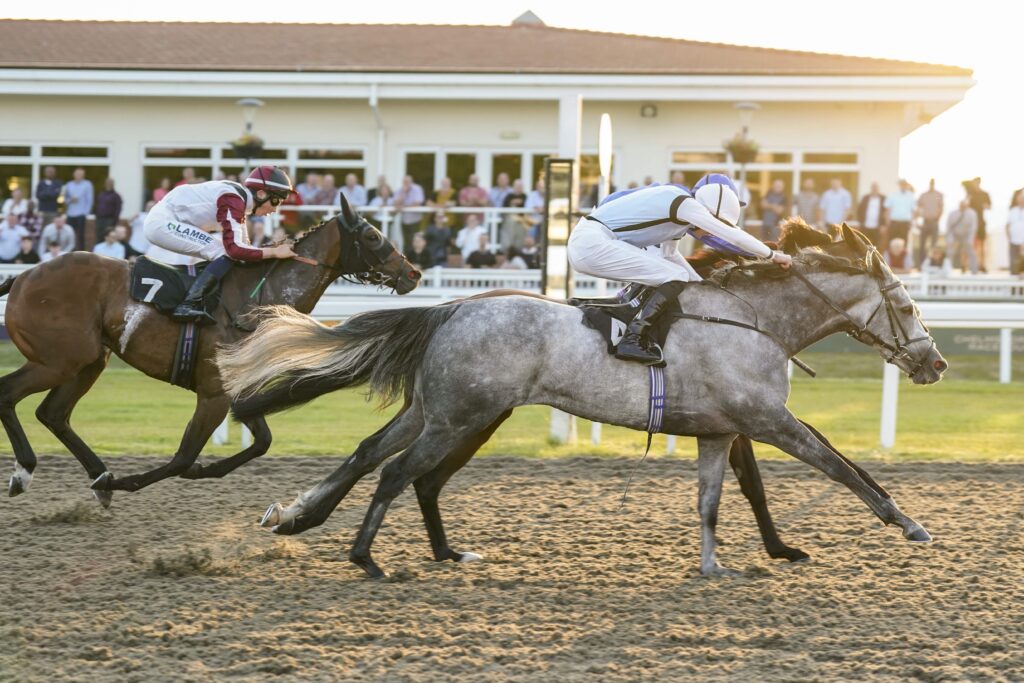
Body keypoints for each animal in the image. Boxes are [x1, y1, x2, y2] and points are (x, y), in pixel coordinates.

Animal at [0, 196, 420, 505]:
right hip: (58, 359)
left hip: (89, 359)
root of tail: (22, 276)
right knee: (10, 394)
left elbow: (262, 443)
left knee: (53, 413)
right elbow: (184, 457)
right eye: (372, 236)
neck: (259, 300)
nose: (413, 273)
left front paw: (196, 471)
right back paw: (26, 471)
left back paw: (98, 474)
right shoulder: (213, 394)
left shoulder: (239, 390)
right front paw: (129, 481)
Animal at [219, 222, 947, 578]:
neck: (754, 317)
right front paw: (908, 522)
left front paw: (731, 562)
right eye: (908, 305)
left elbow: (726, 494)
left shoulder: (724, 427)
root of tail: (452, 307)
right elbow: (842, 465)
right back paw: (366, 558)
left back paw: (314, 521)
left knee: (378, 456)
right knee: (400, 472)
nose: (935, 362)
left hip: (443, 410)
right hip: (462, 415)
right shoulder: (770, 419)